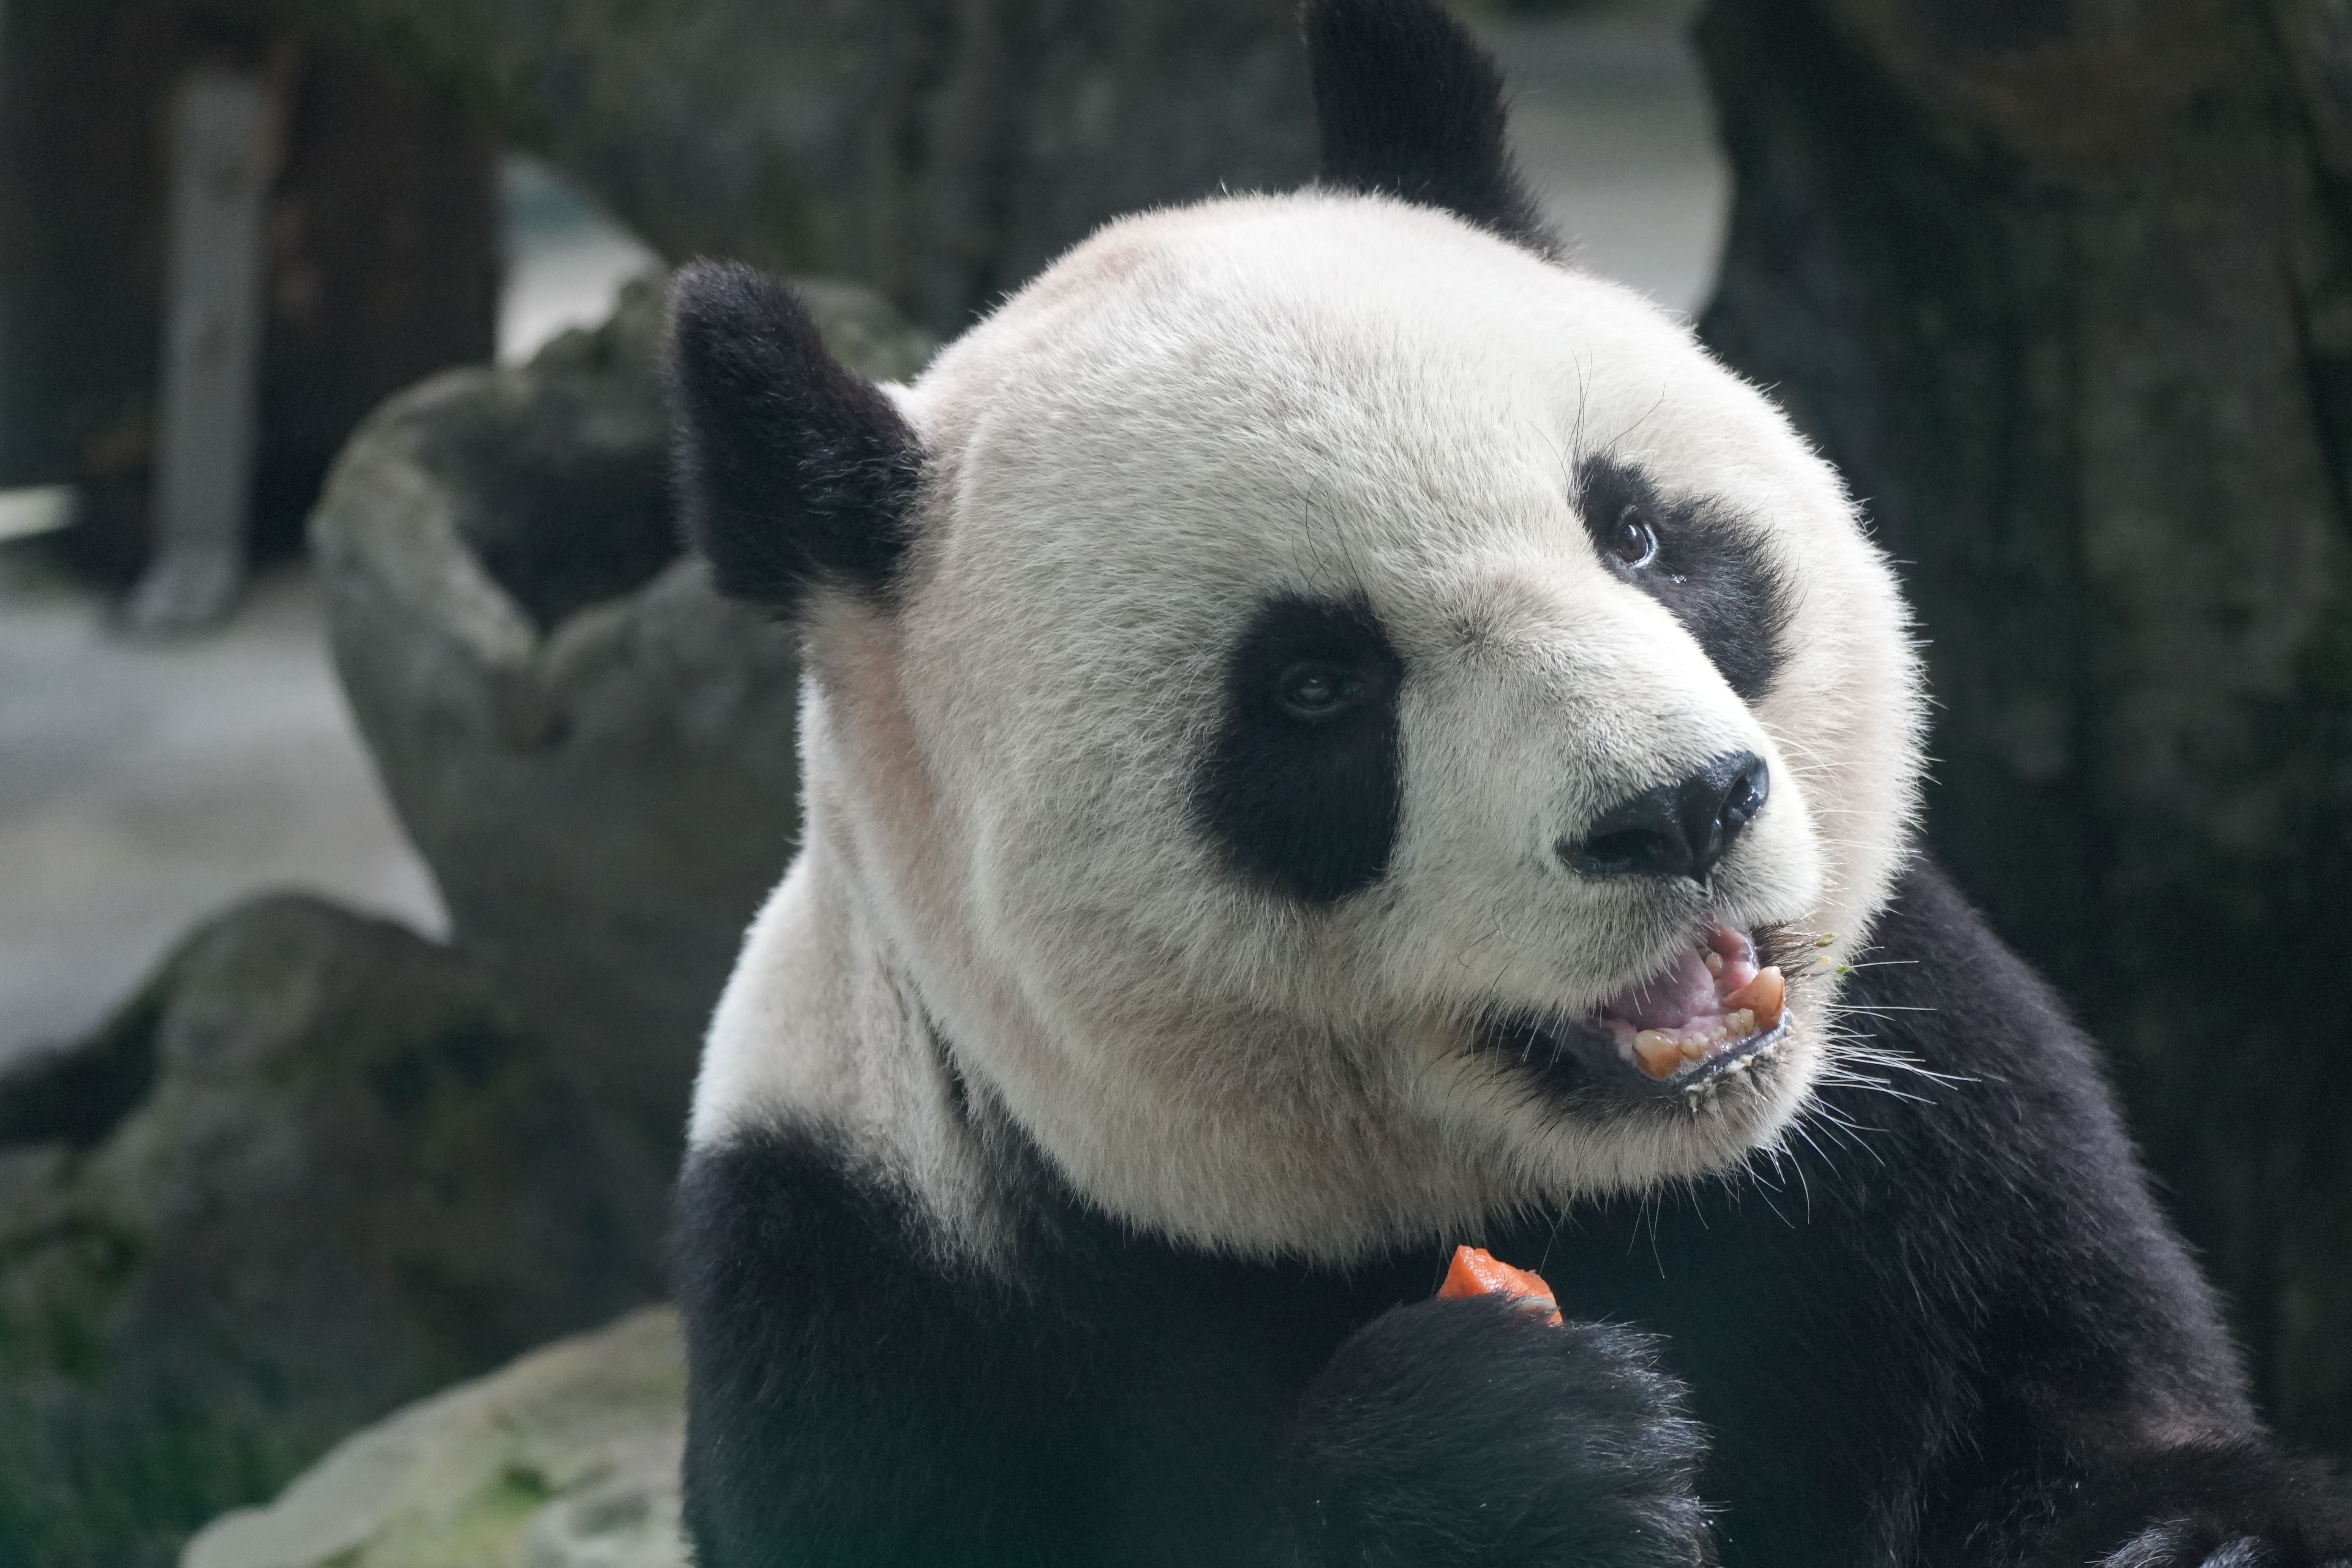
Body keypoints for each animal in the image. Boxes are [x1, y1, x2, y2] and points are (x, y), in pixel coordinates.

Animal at [662, 2, 2352, 1563]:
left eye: (1639, 534)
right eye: (1317, 687)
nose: (1681, 810)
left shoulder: (1933, 1116)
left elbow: (2090, 1423)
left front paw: (2183, 1537)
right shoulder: (862, 1273)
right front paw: (1498, 1452)